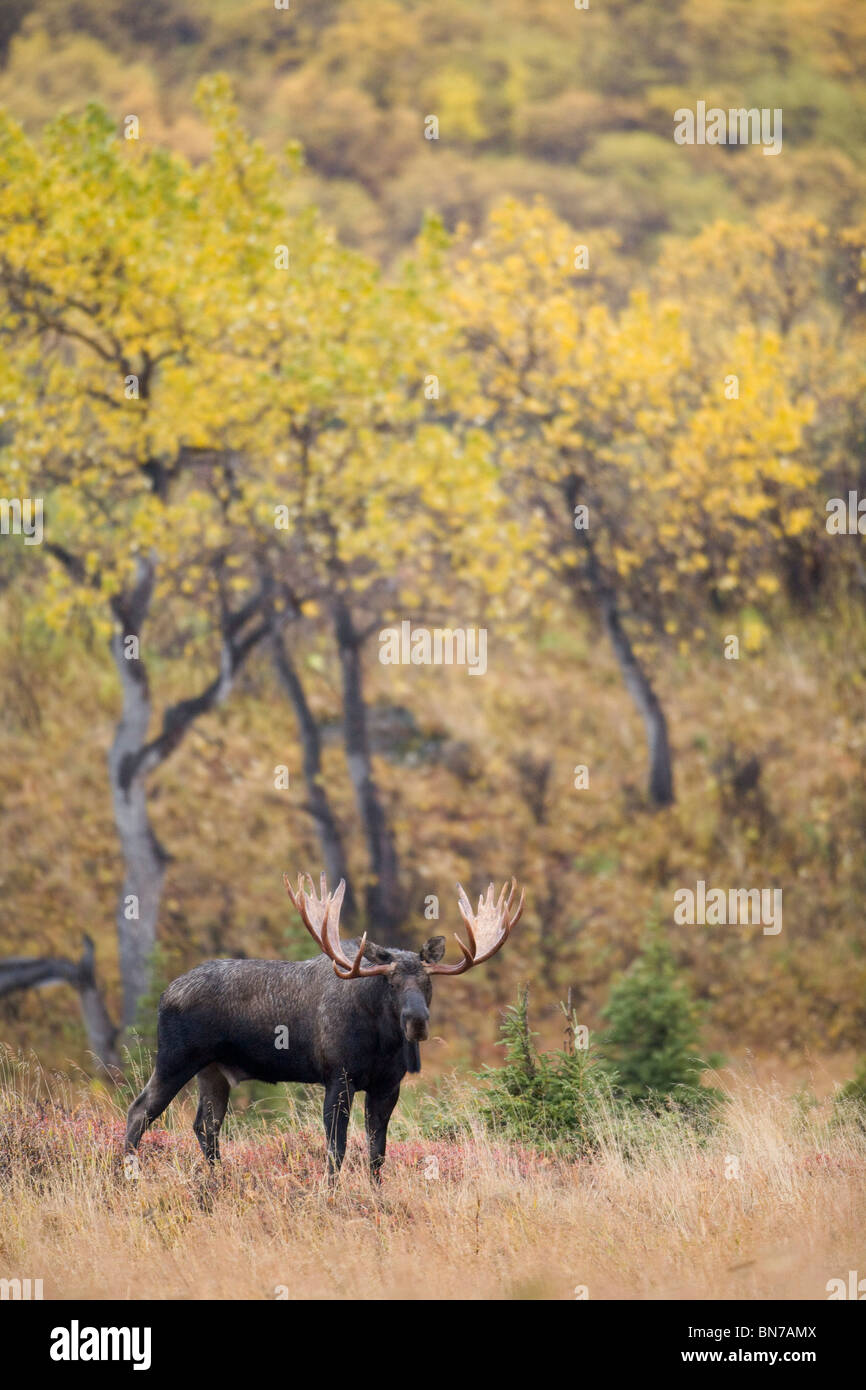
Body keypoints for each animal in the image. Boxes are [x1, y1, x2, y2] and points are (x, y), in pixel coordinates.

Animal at [125, 873, 524, 1180]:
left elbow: (377, 1153)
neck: (381, 1044)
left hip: (214, 1071)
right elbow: (337, 1150)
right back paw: (126, 1176)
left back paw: (216, 1179)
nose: (417, 1022)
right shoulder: (338, 1076)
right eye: (392, 983)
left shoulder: (388, 1085)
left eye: (428, 983)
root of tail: (166, 993)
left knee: (205, 1125)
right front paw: (330, 1196)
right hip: (176, 1057)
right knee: (140, 1111)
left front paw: (375, 1195)